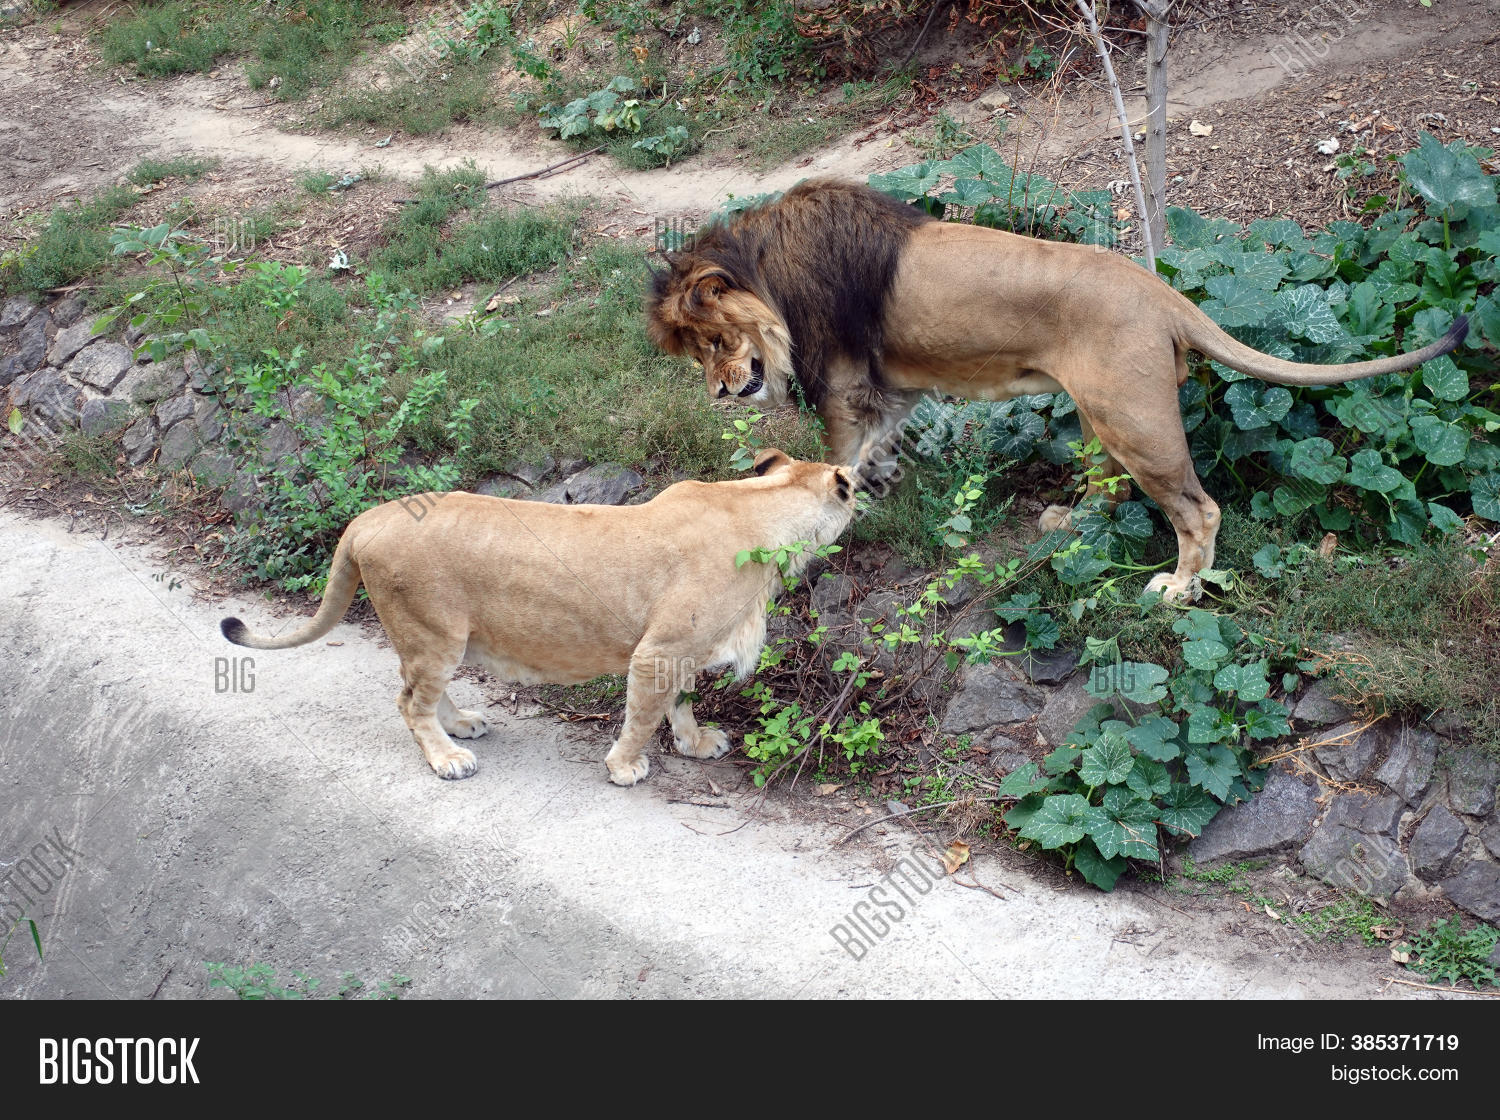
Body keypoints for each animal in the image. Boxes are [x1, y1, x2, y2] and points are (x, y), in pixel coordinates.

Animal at [220, 450, 855, 784]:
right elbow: (645, 715)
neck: (756, 508)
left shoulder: (688, 649)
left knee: (415, 689)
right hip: (435, 632)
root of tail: (365, 519)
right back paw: (449, 758)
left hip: (433, 638)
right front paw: (625, 767)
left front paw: (697, 743)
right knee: (408, 702)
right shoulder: (660, 650)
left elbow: (682, 704)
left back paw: (460, 725)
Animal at [646, 179, 1469, 601]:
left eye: (713, 342)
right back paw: (1069, 526)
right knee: (1108, 491)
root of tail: (1161, 291)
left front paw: (827, 534)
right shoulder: (883, 390)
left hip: (1134, 419)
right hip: (1102, 414)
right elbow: (871, 457)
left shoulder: (843, 386)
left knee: (1198, 508)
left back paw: (1179, 590)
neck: (762, 267)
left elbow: (835, 463)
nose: (719, 394)